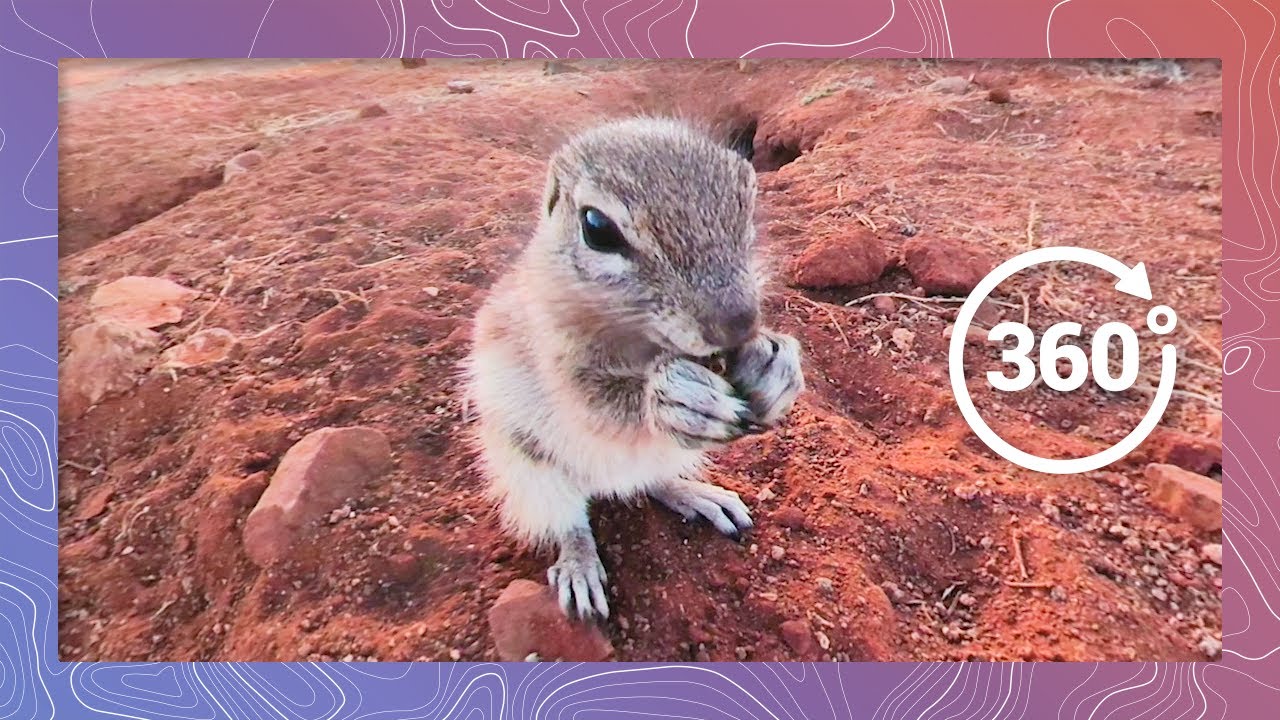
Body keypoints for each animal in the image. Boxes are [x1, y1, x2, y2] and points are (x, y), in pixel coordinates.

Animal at [465, 117, 804, 620]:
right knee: (568, 521)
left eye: (746, 195)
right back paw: (580, 566)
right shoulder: (551, 352)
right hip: (530, 473)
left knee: (653, 478)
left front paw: (775, 364)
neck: (642, 341)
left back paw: (697, 495)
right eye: (597, 228)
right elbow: (595, 403)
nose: (739, 324)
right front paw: (670, 399)